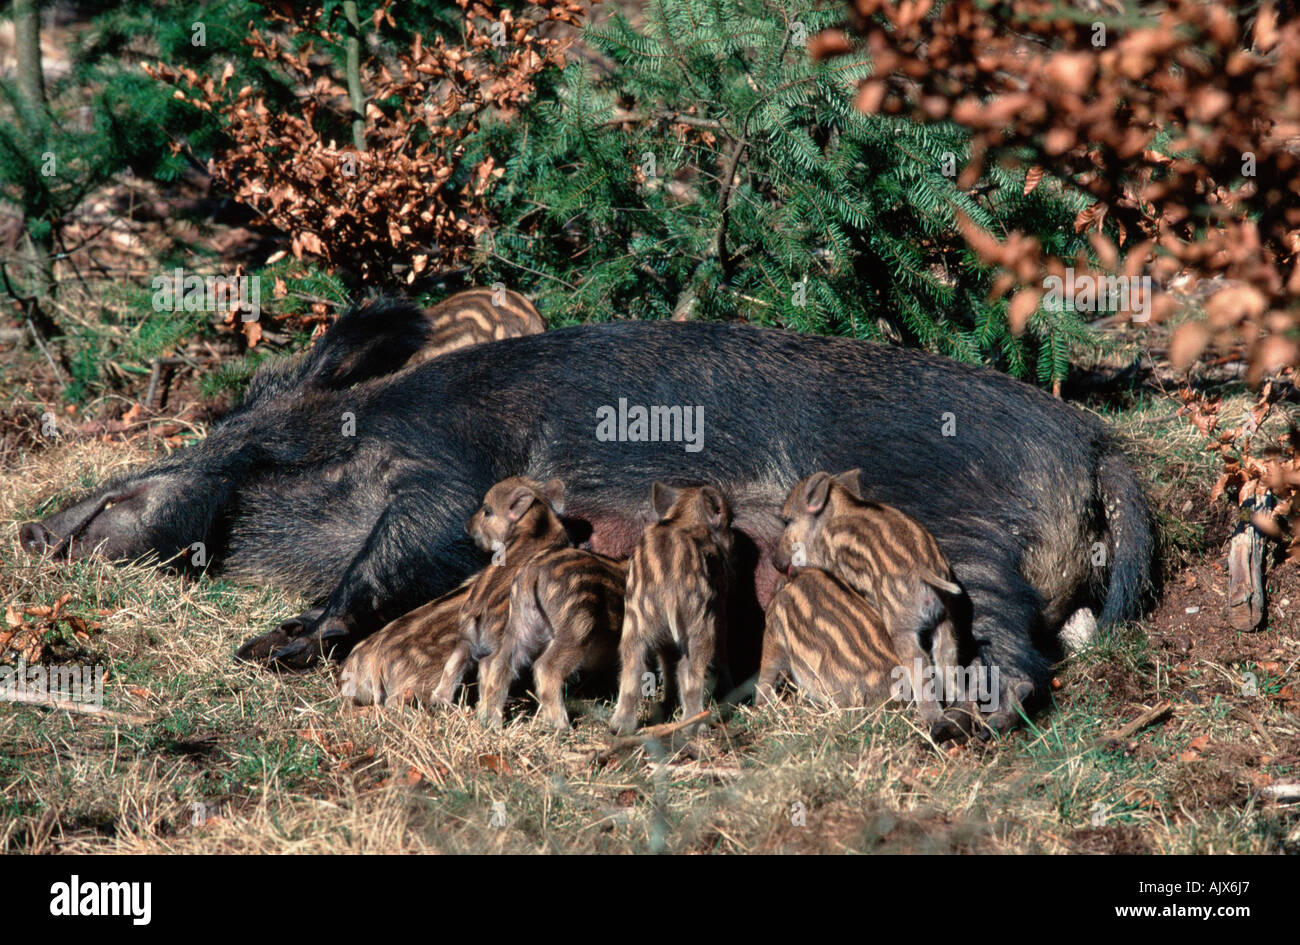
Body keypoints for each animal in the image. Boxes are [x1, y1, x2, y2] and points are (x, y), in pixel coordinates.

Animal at [609, 483, 734, 736]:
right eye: (729, 522)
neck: (684, 517)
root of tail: (668, 590)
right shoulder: (720, 605)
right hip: (699, 624)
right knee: (689, 671)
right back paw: (695, 726)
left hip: (636, 623)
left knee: (633, 669)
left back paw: (620, 727)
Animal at [774, 469, 979, 736]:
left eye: (787, 521)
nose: (776, 563)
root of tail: (925, 569)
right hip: (945, 617)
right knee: (946, 653)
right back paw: (954, 702)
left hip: (901, 624)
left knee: (918, 664)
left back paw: (932, 719)